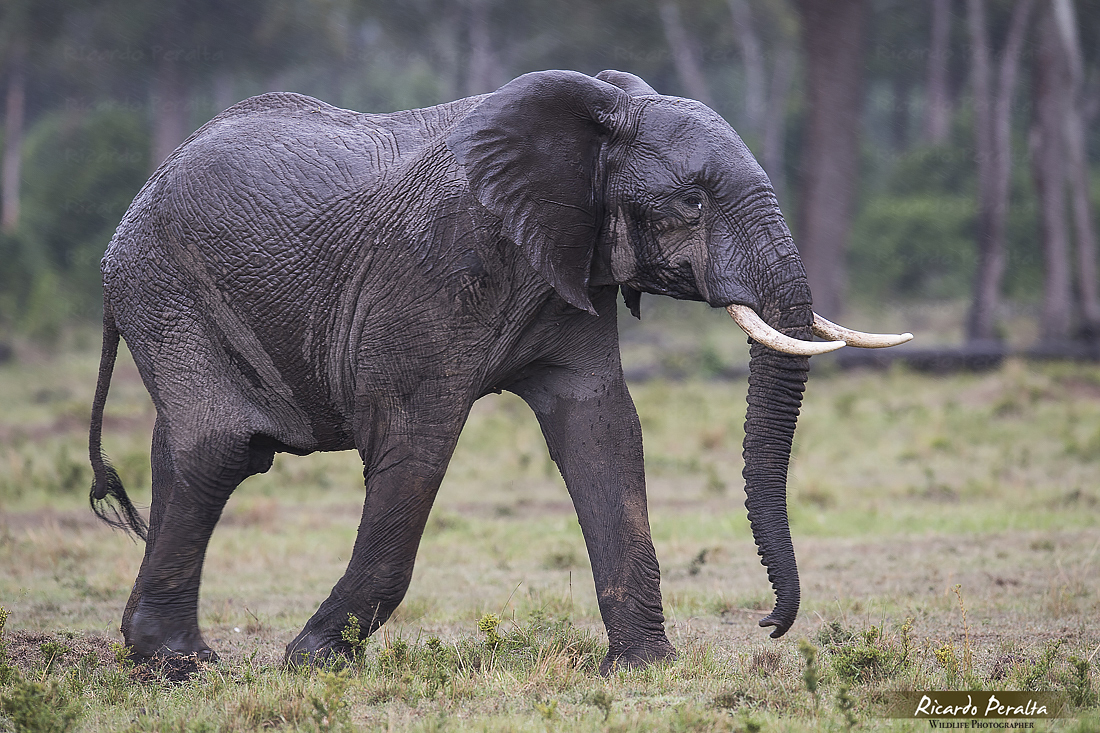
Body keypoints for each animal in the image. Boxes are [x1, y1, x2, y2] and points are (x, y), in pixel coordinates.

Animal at [88, 69, 910, 674]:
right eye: (691, 198)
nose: (771, 622)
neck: (597, 116)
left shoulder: (572, 261)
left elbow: (603, 428)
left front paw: (642, 669)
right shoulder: (434, 268)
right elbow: (416, 443)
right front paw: (308, 662)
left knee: (188, 450)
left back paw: (167, 657)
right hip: (166, 288)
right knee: (219, 446)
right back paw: (182, 665)